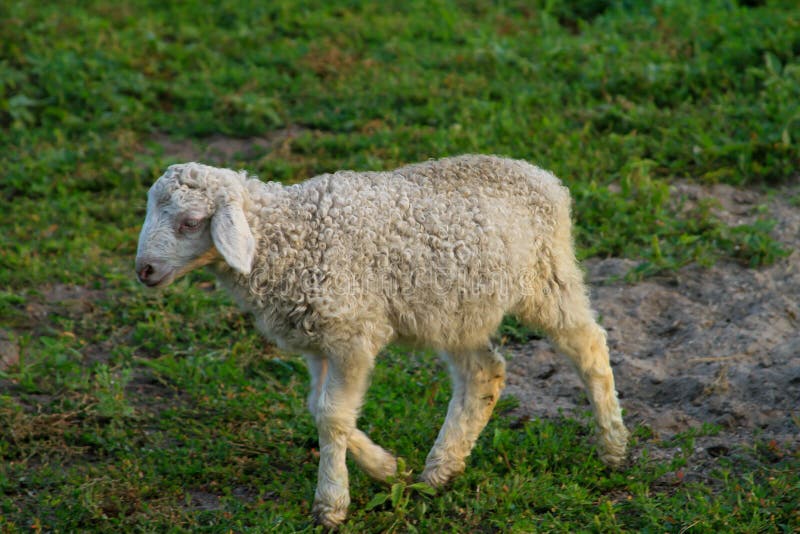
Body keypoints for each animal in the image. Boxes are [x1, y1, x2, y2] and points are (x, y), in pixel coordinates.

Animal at [135, 155, 629, 528]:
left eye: (190, 222)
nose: (144, 271)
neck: (286, 236)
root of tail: (543, 177)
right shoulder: (318, 342)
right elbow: (319, 407)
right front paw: (388, 468)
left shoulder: (351, 334)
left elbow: (331, 415)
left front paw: (331, 503)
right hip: (457, 307)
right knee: (484, 373)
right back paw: (438, 471)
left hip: (545, 280)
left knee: (589, 345)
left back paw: (613, 446)